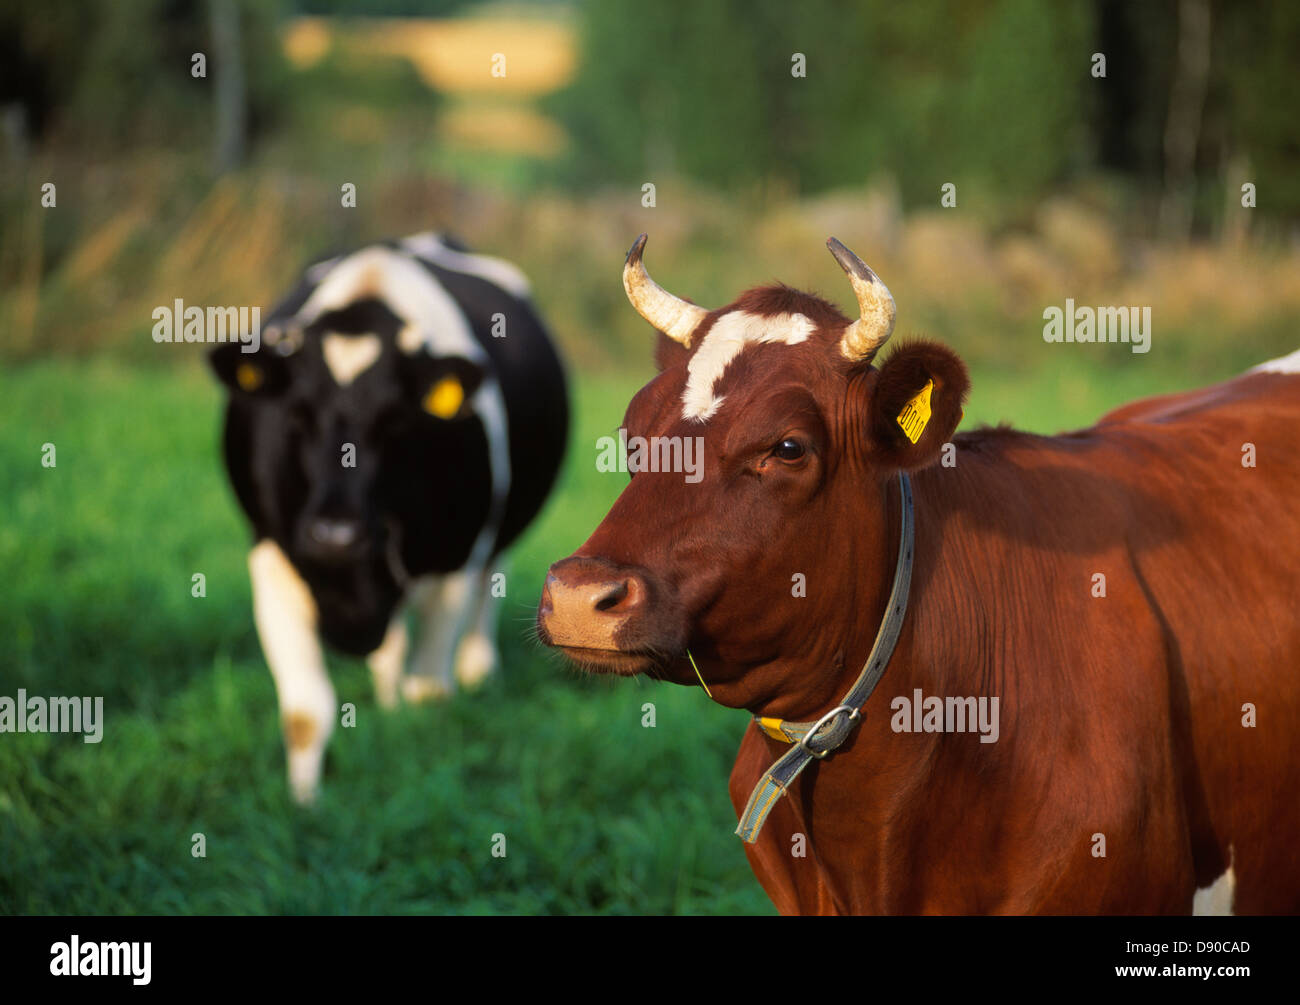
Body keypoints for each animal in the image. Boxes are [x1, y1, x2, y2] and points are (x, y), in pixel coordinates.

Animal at [210, 232, 568, 804]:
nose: (336, 535)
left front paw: (427, 781)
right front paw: (304, 804)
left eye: (394, 420)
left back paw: (478, 670)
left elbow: (430, 693)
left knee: (487, 591)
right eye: (297, 415)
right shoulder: (270, 554)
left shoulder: (455, 562)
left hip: (493, 540)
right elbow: (305, 714)